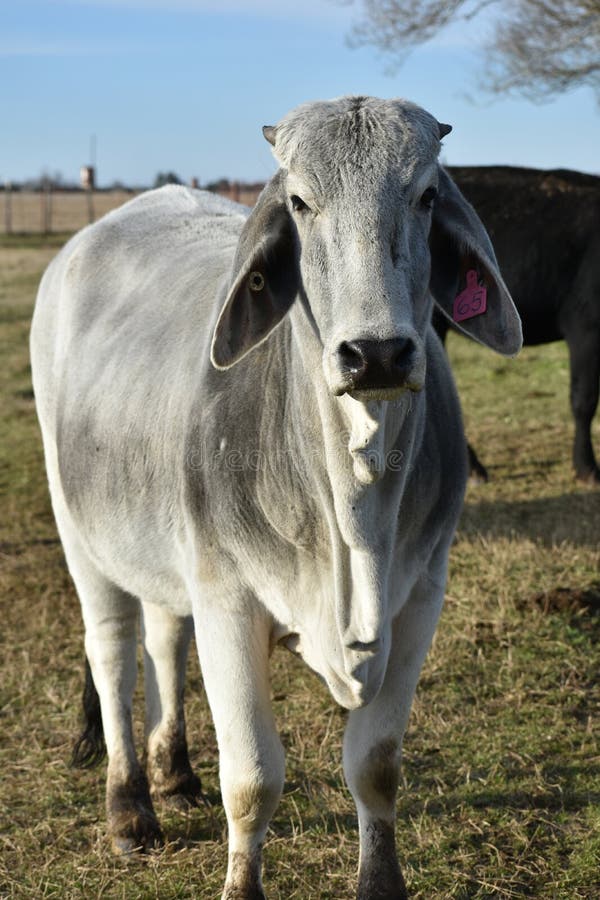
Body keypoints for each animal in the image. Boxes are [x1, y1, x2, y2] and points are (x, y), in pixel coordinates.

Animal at [30, 96, 521, 899]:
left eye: (424, 196)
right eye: (298, 202)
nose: (376, 354)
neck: (354, 513)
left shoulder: (421, 597)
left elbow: (376, 767)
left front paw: (380, 884)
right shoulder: (230, 598)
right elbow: (254, 778)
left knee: (165, 637)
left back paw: (174, 774)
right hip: (80, 529)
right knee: (114, 650)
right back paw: (130, 806)